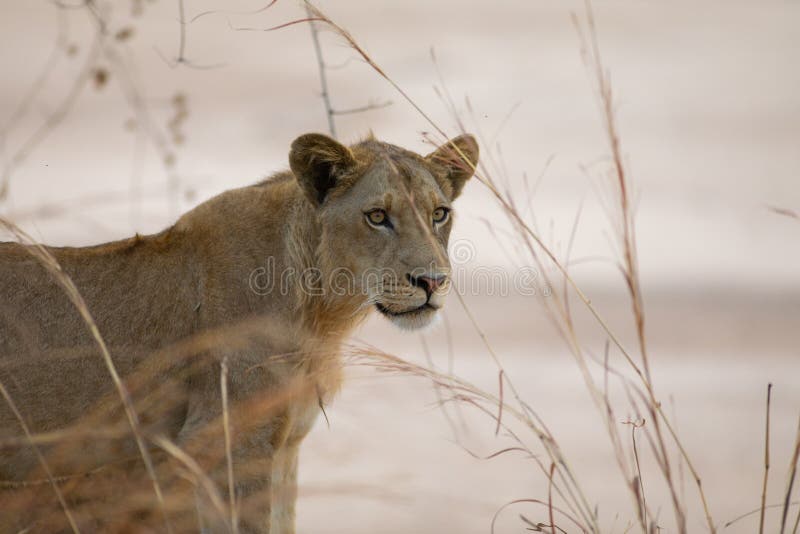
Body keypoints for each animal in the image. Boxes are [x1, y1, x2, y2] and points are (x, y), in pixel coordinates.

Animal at [0, 132, 478, 533]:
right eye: (377, 216)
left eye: (439, 214)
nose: (433, 281)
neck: (320, 311)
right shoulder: (229, 444)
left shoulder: (285, 445)